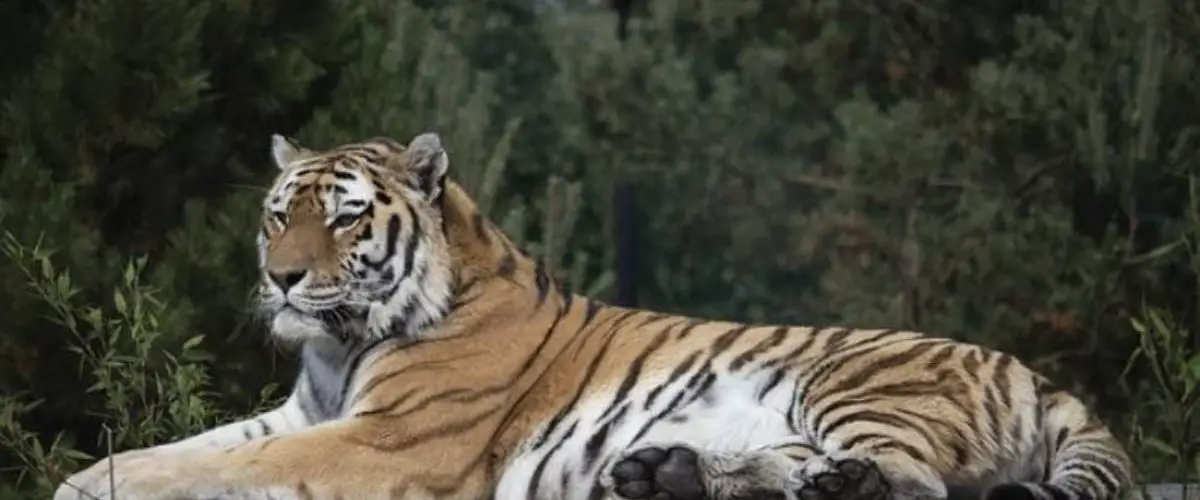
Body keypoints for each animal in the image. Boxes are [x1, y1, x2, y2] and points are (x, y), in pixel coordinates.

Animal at [55, 131, 1134, 500]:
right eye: (281, 215)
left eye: (346, 216)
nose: (282, 280)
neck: (338, 346)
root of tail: (1039, 374)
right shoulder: (305, 413)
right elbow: (188, 446)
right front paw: (88, 476)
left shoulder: (384, 442)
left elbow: (231, 466)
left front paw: (92, 487)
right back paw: (667, 473)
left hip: (854, 380)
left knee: (918, 482)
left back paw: (833, 483)